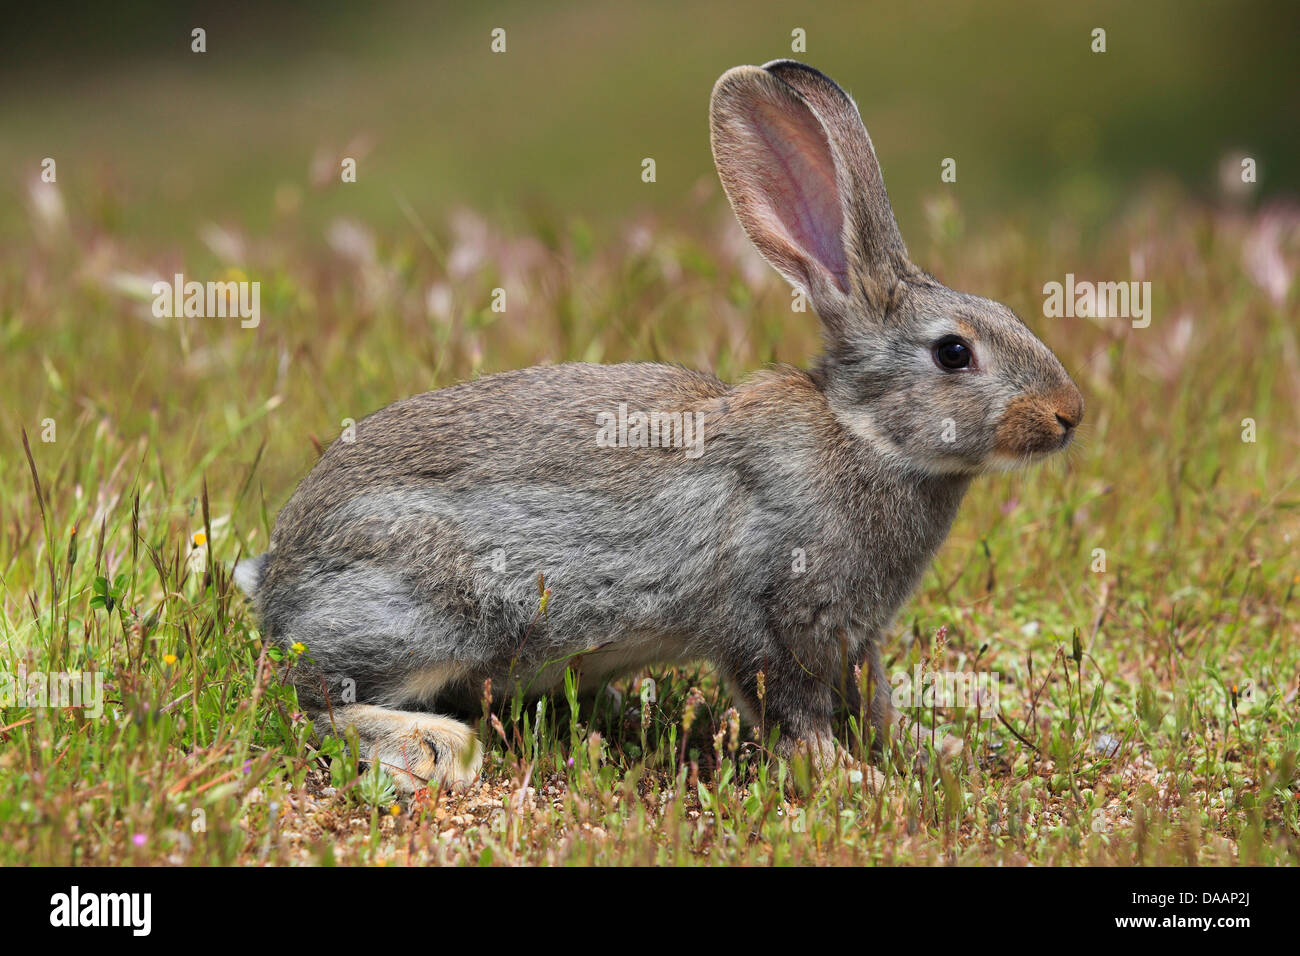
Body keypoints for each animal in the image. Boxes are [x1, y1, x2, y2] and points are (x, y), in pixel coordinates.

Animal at [234, 59, 1083, 793]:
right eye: (953, 352)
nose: (1068, 414)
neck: (863, 435)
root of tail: (278, 582)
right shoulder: (766, 611)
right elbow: (791, 713)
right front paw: (852, 779)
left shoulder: (852, 638)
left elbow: (872, 703)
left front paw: (929, 751)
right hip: (433, 612)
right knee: (318, 702)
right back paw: (435, 744)